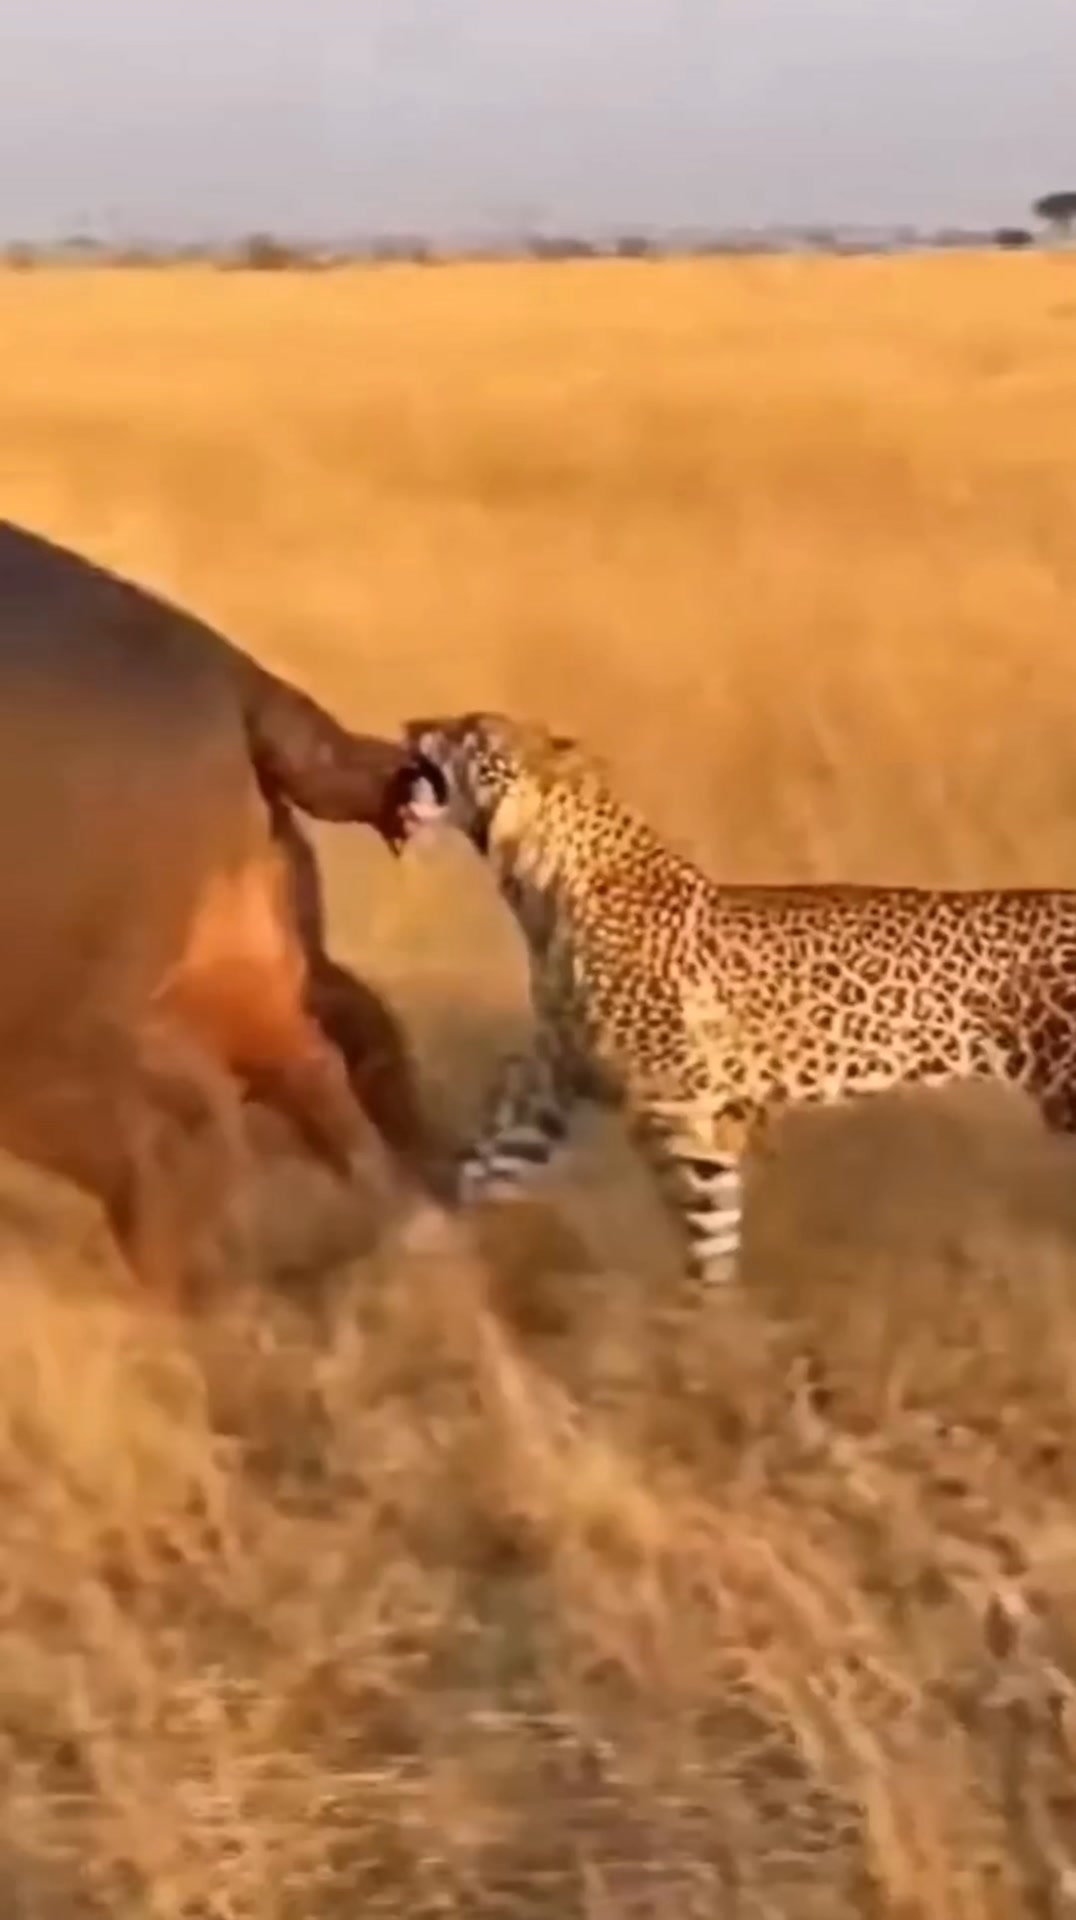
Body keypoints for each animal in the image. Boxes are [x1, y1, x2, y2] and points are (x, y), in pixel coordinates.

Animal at [387, 709, 1076, 1285]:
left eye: (471, 731)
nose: (412, 724)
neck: (535, 884)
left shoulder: (675, 1110)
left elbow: (705, 1235)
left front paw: (702, 1341)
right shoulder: (556, 1086)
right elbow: (476, 1172)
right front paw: (405, 1267)